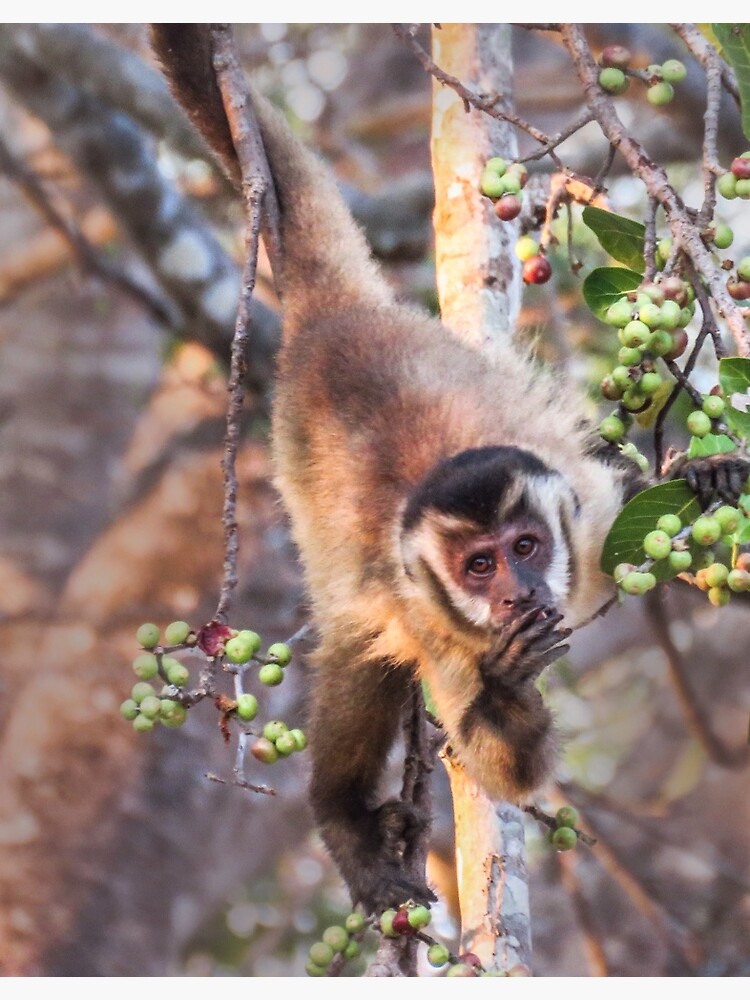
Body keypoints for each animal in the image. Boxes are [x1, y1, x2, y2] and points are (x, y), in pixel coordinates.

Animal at [150, 25, 749, 913]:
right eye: (478, 566)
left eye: (526, 546)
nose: (515, 591)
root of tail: (335, 324)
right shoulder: (442, 623)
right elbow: (506, 767)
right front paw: (504, 691)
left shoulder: (601, 527)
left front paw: (710, 482)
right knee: (360, 643)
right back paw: (344, 820)